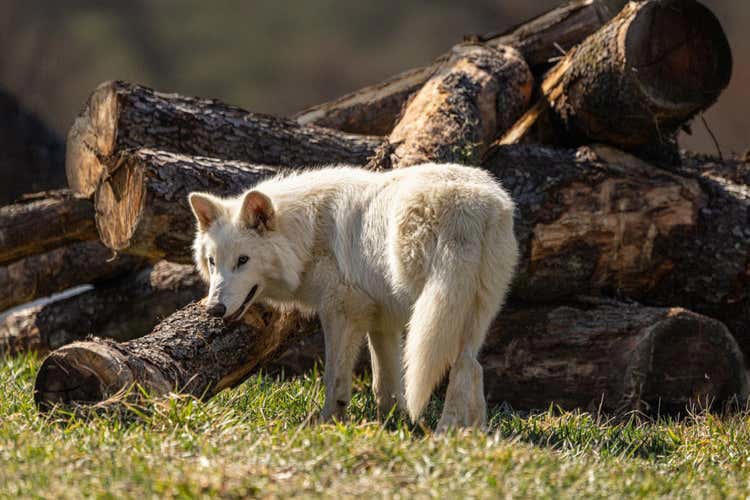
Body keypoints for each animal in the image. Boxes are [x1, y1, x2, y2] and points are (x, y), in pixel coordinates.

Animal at [188, 163, 518, 430]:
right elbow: (385, 385)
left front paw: (327, 423)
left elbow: (334, 379)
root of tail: (470, 206)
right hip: (467, 315)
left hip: (430, 312)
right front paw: (391, 425)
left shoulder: (342, 313)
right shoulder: (382, 322)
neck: (307, 235)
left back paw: (444, 434)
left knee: (458, 367)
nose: (215, 309)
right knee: (470, 367)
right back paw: (468, 435)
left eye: (243, 260)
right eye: (213, 262)